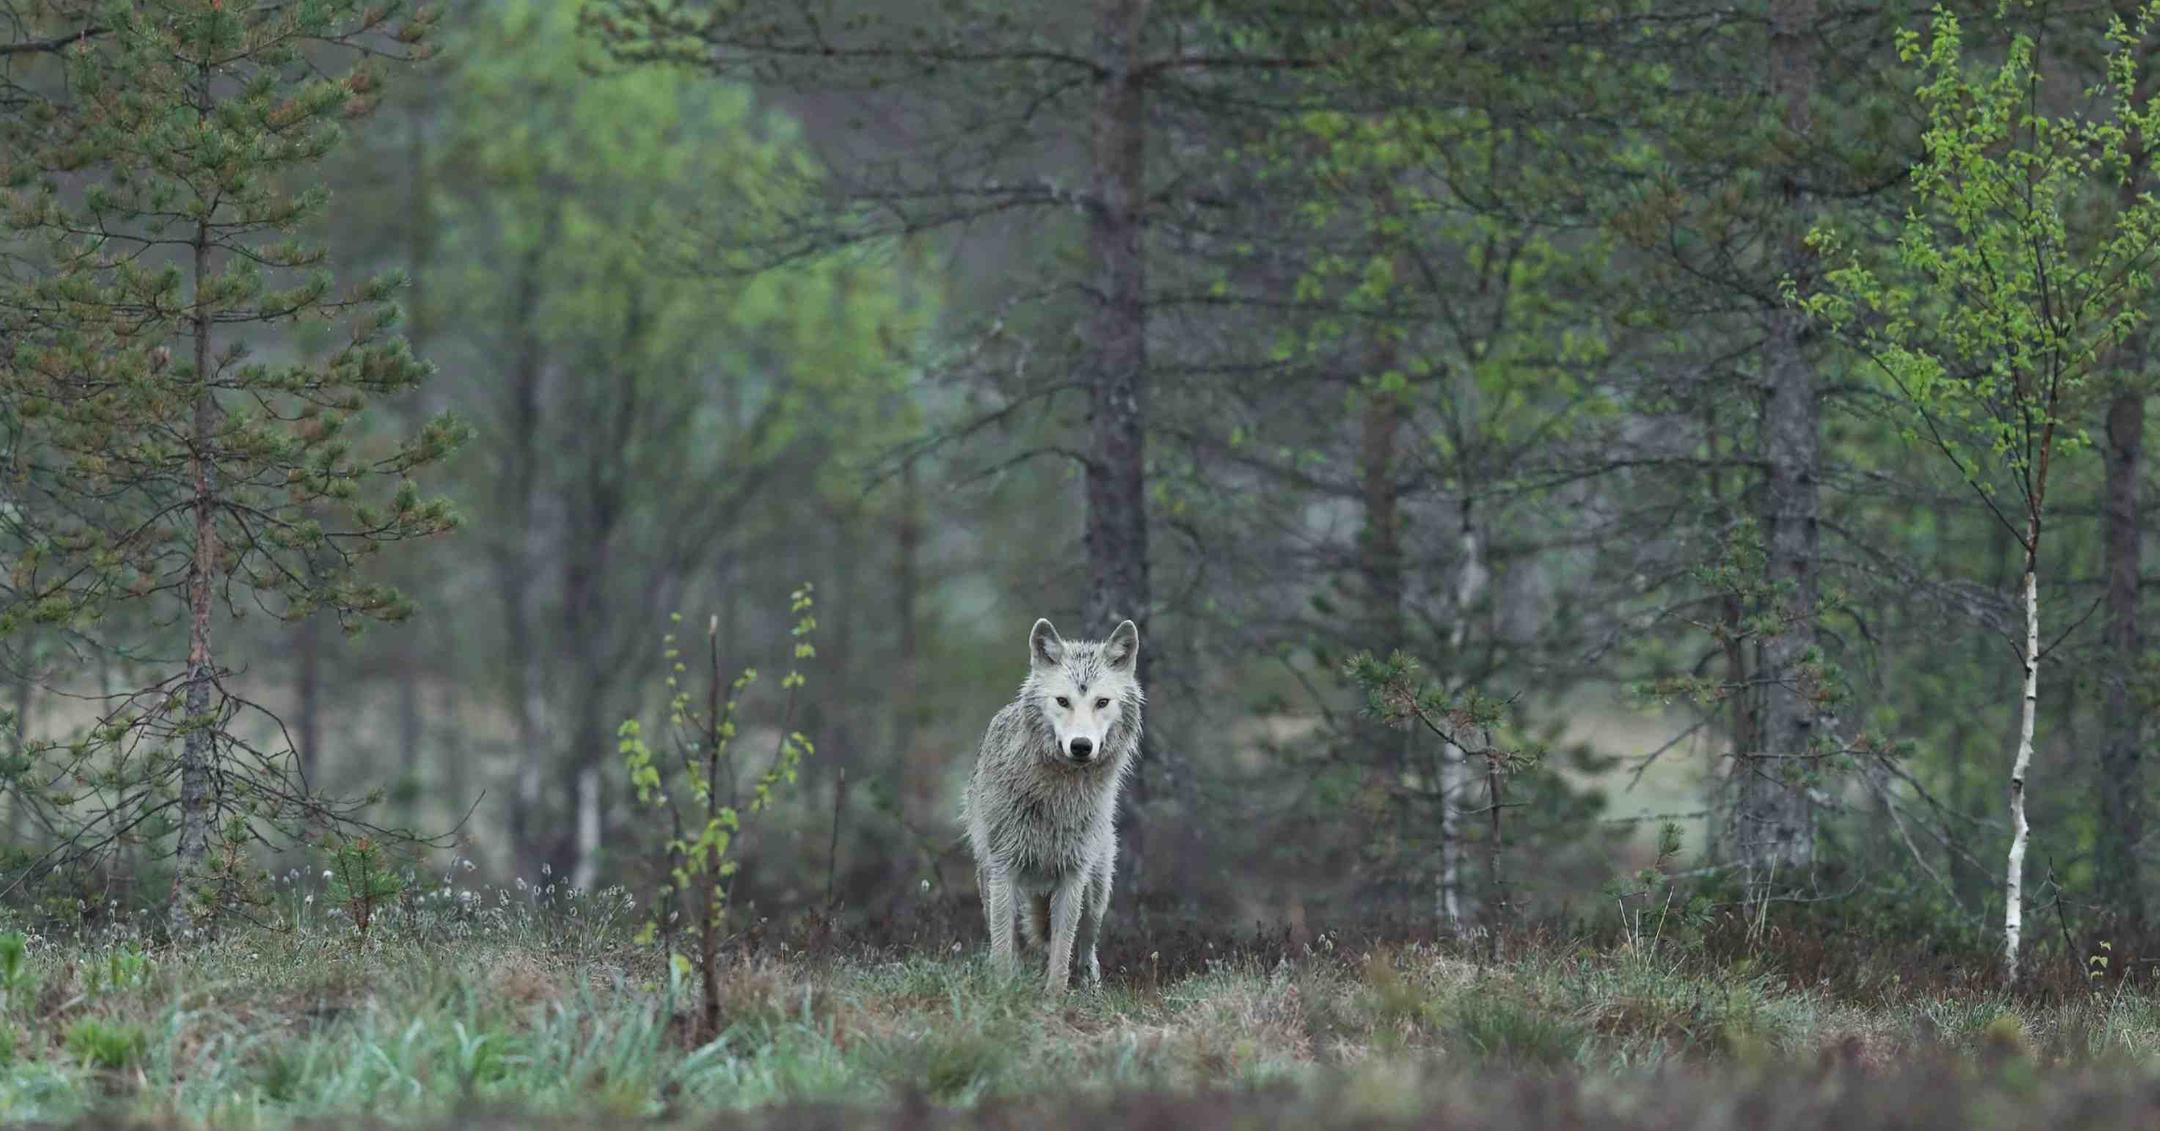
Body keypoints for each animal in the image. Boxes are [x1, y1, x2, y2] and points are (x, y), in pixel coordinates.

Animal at [964, 617, 1142, 992]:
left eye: (1102, 702)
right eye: (1062, 701)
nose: (1081, 746)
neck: (1057, 798)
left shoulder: (1073, 876)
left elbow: (1062, 951)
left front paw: (1054, 997)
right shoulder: (1004, 870)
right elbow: (1004, 948)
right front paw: (1003, 992)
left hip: (1096, 891)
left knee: (1086, 945)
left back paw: (1090, 986)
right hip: (990, 880)